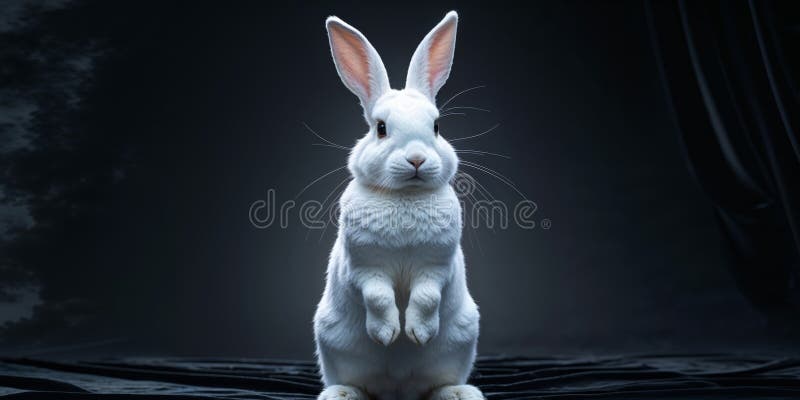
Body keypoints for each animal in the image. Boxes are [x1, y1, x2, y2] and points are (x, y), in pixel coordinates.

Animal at [313, 11, 483, 400]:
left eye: (436, 126)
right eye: (380, 128)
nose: (417, 159)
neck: (406, 196)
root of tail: (398, 391)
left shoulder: (437, 266)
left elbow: (426, 298)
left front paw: (417, 334)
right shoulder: (363, 266)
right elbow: (377, 298)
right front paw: (388, 334)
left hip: (462, 337)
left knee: (436, 385)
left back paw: (460, 393)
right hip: (332, 341)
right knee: (357, 383)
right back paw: (340, 394)